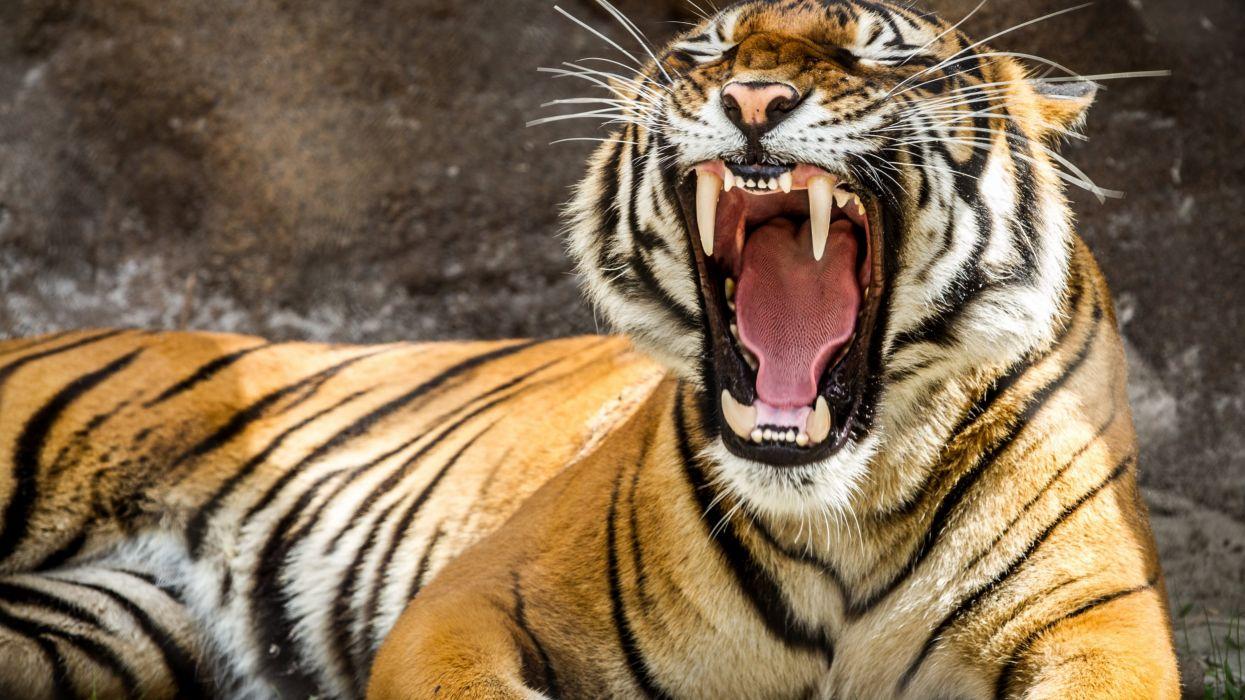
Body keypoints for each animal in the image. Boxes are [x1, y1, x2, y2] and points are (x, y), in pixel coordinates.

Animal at [0, 0, 1179, 698]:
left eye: (874, 50)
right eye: (708, 51)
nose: (752, 97)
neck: (844, 505)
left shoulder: (1097, 623)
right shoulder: (465, 603)